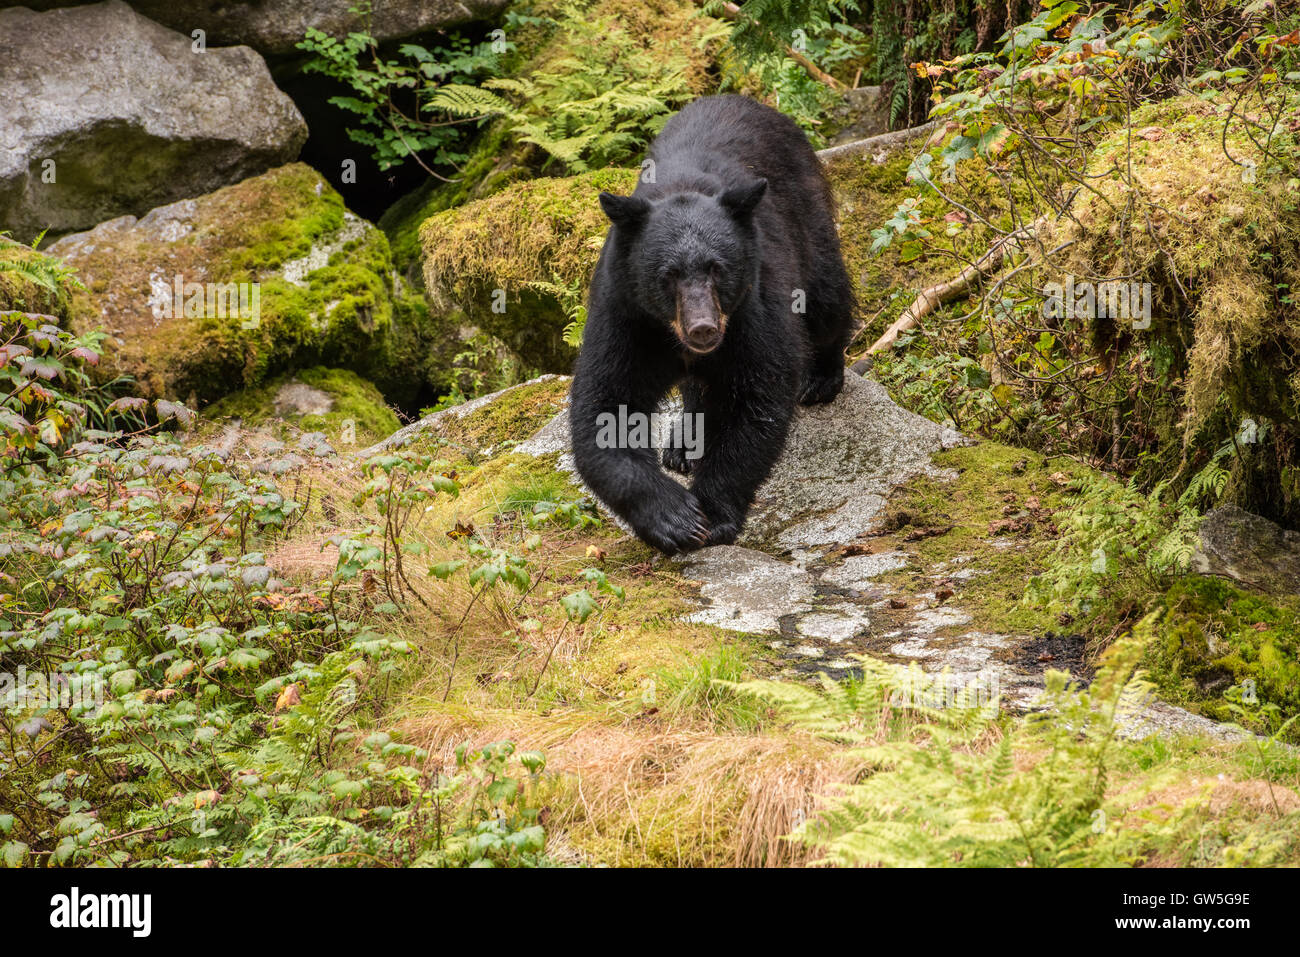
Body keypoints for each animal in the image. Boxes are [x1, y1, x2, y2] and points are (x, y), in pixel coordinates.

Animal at [569, 94, 856, 554]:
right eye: (668, 274)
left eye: (717, 268)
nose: (702, 328)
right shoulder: (625, 312)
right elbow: (606, 407)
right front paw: (673, 518)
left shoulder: (751, 309)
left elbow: (755, 400)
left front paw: (713, 515)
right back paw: (684, 441)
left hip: (806, 217)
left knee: (826, 299)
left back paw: (821, 377)